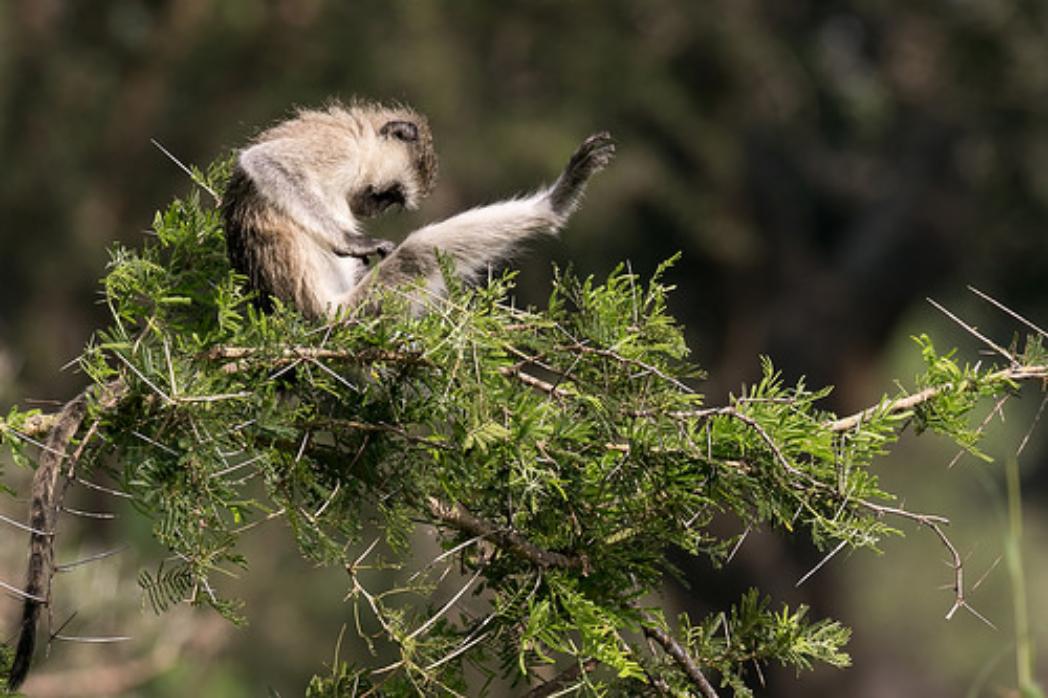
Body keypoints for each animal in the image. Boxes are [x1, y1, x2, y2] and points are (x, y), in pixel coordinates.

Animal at [222, 99, 615, 317]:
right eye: (386, 196)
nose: (373, 213)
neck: (360, 134)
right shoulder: (340, 148)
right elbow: (264, 162)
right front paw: (353, 241)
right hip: (350, 312)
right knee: (420, 251)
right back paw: (552, 206)